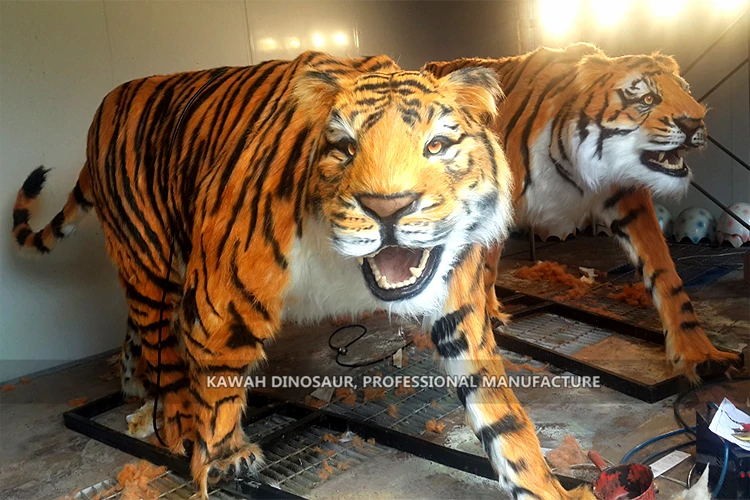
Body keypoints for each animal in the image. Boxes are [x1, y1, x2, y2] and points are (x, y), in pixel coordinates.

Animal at [12, 51, 594, 499]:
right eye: (345, 148)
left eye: (436, 146)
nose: (388, 208)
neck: (347, 270)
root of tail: (104, 107)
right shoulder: (217, 302)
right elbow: (219, 384)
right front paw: (225, 456)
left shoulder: (462, 316)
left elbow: (504, 420)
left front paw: (542, 484)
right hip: (149, 257)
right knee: (160, 343)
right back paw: (170, 418)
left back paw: (134, 386)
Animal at [423, 43, 739, 382]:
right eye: (647, 99)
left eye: (686, 91)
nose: (695, 123)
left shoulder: (626, 196)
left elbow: (664, 272)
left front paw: (701, 354)